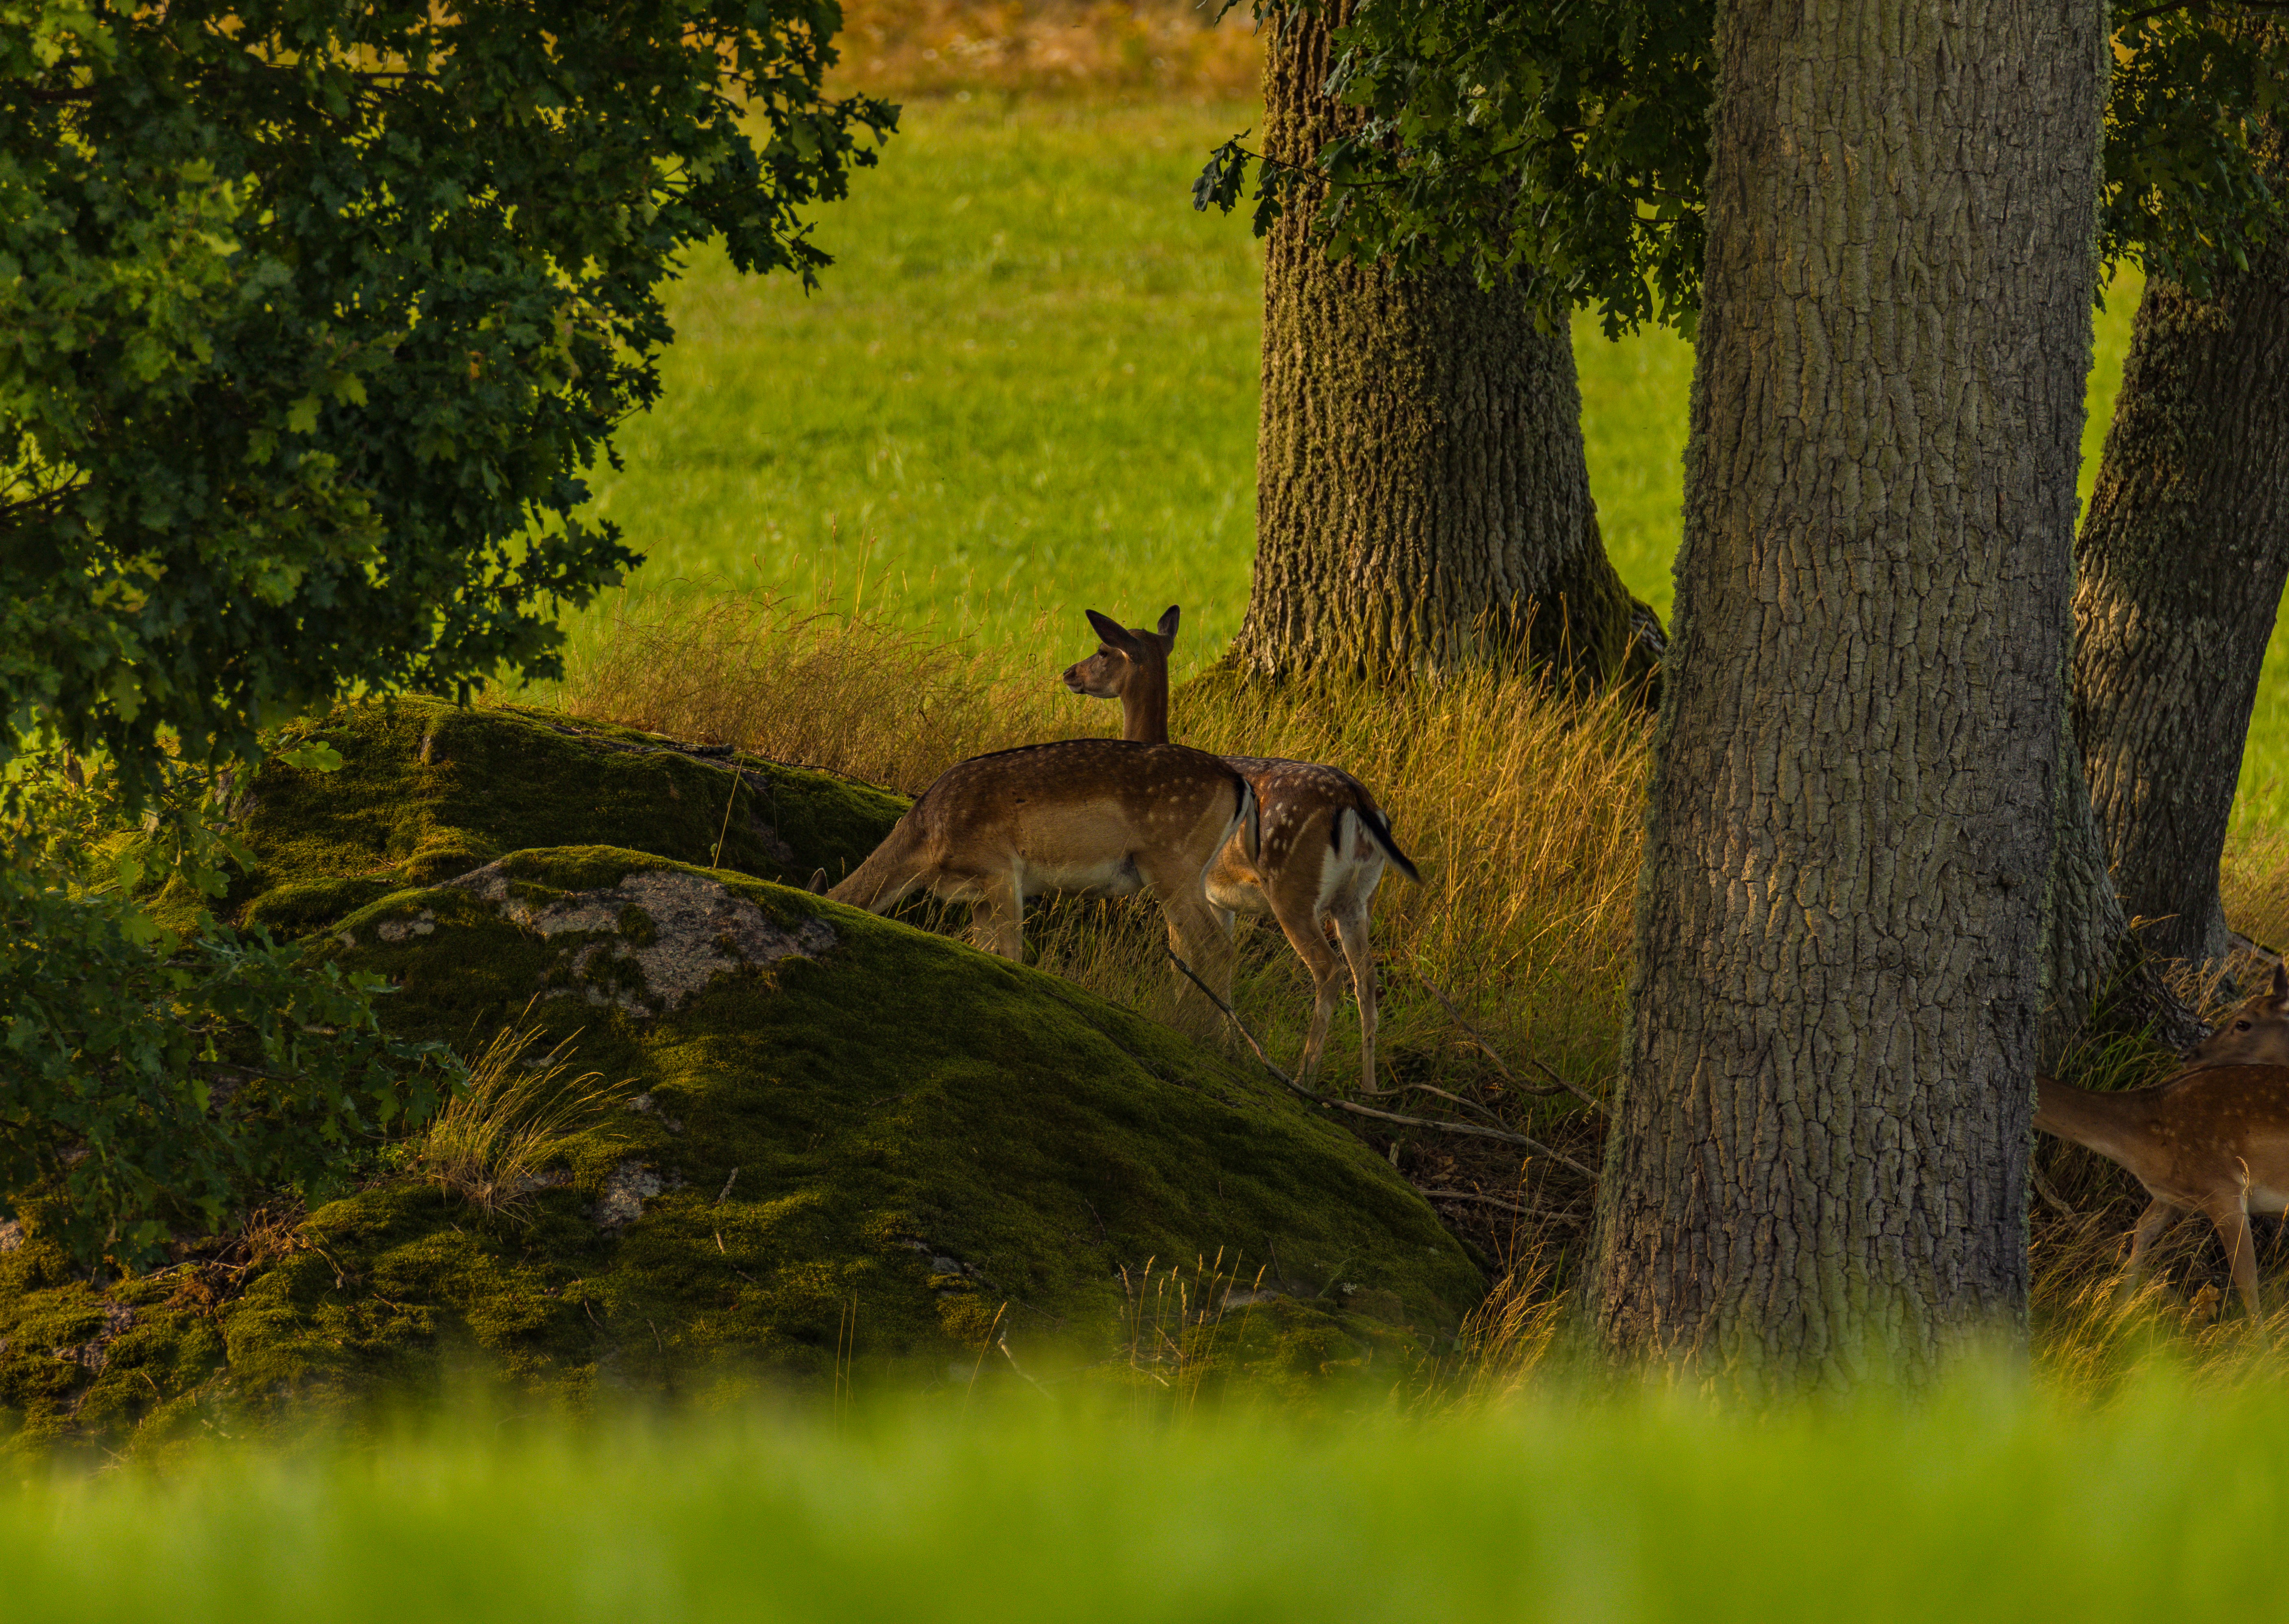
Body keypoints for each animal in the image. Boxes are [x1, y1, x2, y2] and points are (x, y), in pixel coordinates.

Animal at [814, 736, 1257, 1007]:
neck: (928, 846)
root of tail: (1240, 784)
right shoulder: (977, 894)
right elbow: (983, 948)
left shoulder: (1000, 868)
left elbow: (1012, 952)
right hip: (1194, 872)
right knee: (1189, 947)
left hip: (1171, 862)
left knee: (1214, 945)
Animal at [1061, 606, 1419, 1095]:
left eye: (1101, 650)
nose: (1068, 673)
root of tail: (1356, 801)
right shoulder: (1219, 896)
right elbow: (1221, 964)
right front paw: (1226, 1039)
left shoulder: (1180, 883)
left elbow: (1181, 958)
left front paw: (1190, 1026)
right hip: (1357, 896)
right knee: (1367, 979)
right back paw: (1369, 1087)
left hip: (1292, 888)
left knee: (1328, 971)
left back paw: (1303, 1077)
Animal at [2033, 960, 2289, 1317]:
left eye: (2242, 1023)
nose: (2189, 1054)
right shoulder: (2172, 1194)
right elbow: (2142, 1230)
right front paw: (2117, 1316)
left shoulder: (2224, 1187)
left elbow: (2247, 1284)